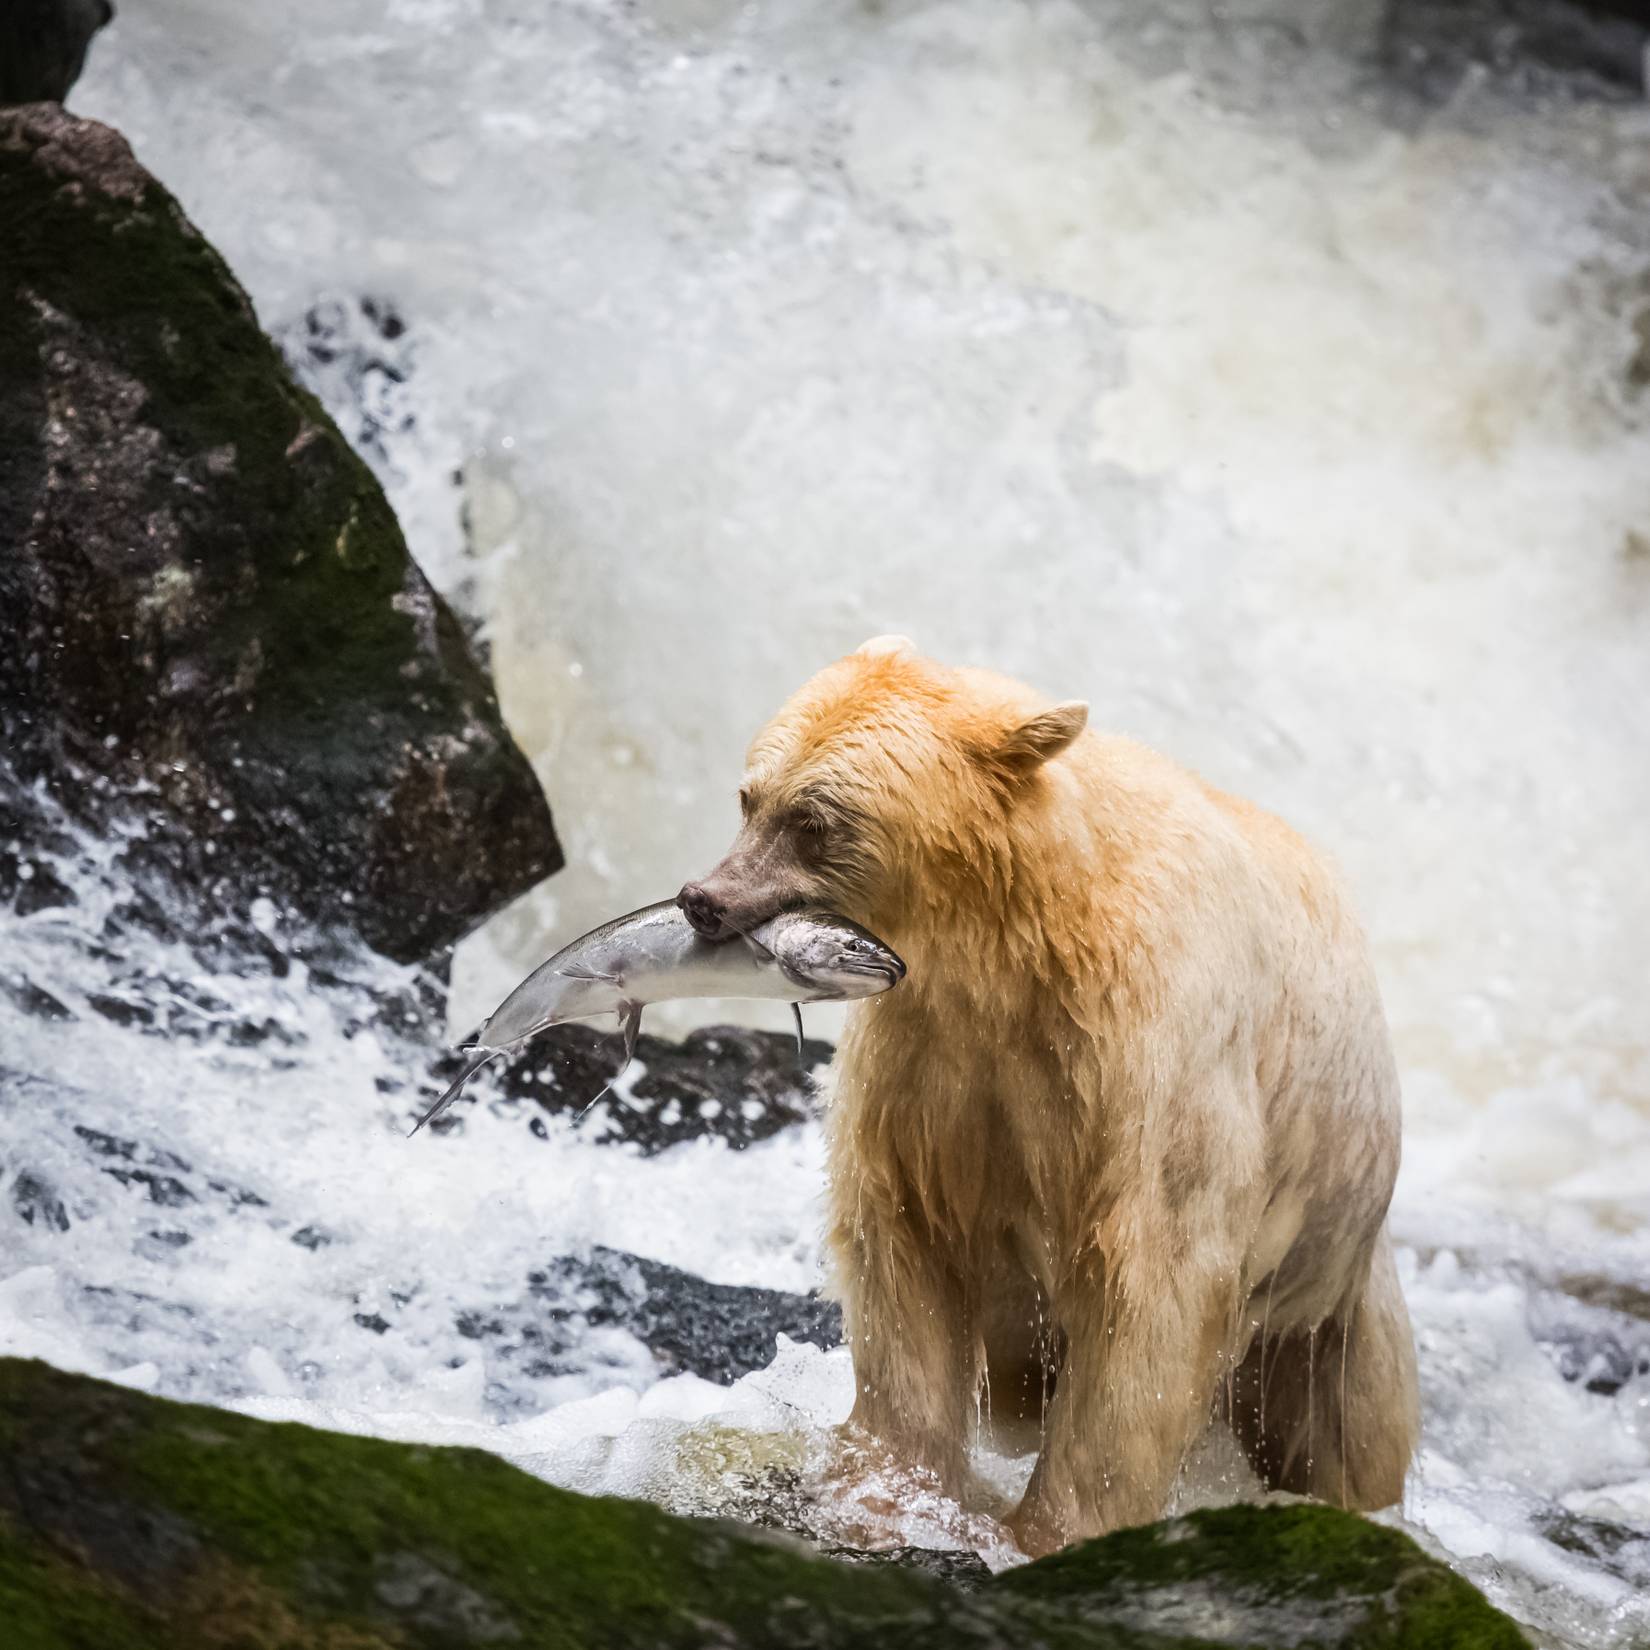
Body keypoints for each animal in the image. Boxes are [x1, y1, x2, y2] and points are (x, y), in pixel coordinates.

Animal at [678, 636, 1420, 1555]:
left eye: (812, 821)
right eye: (749, 797)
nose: (702, 899)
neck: (1001, 937)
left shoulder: (1141, 1046)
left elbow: (1153, 1279)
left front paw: (1049, 1532)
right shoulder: (929, 1059)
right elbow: (903, 1246)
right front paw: (882, 1494)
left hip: (1327, 1288)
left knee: (1344, 1427)